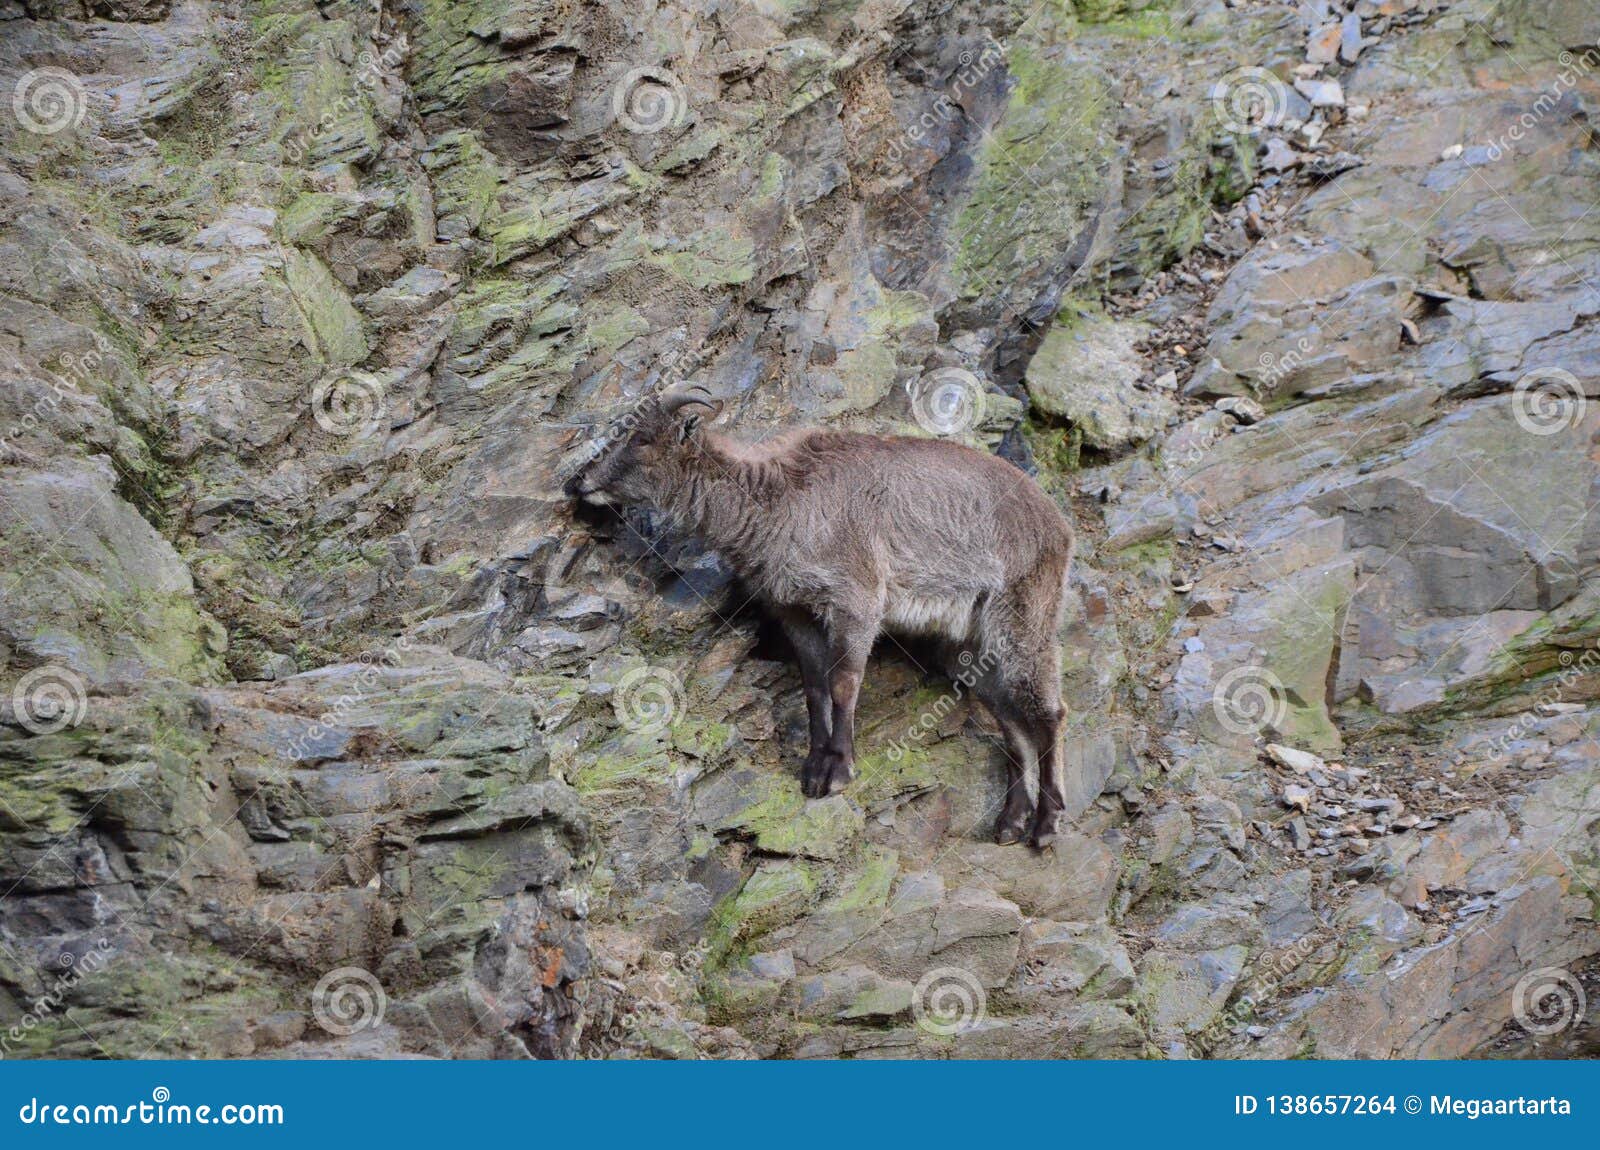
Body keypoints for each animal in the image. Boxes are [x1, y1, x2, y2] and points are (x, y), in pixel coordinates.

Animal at [565, 385, 1075, 848]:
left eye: (642, 439)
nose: (580, 482)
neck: (783, 504)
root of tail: (1056, 522)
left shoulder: (857, 601)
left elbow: (844, 683)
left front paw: (839, 771)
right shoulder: (795, 610)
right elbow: (814, 686)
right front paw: (812, 769)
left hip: (1024, 614)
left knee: (1049, 709)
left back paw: (1047, 823)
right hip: (968, 640)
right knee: (1010, 718)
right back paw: (1011, 822)